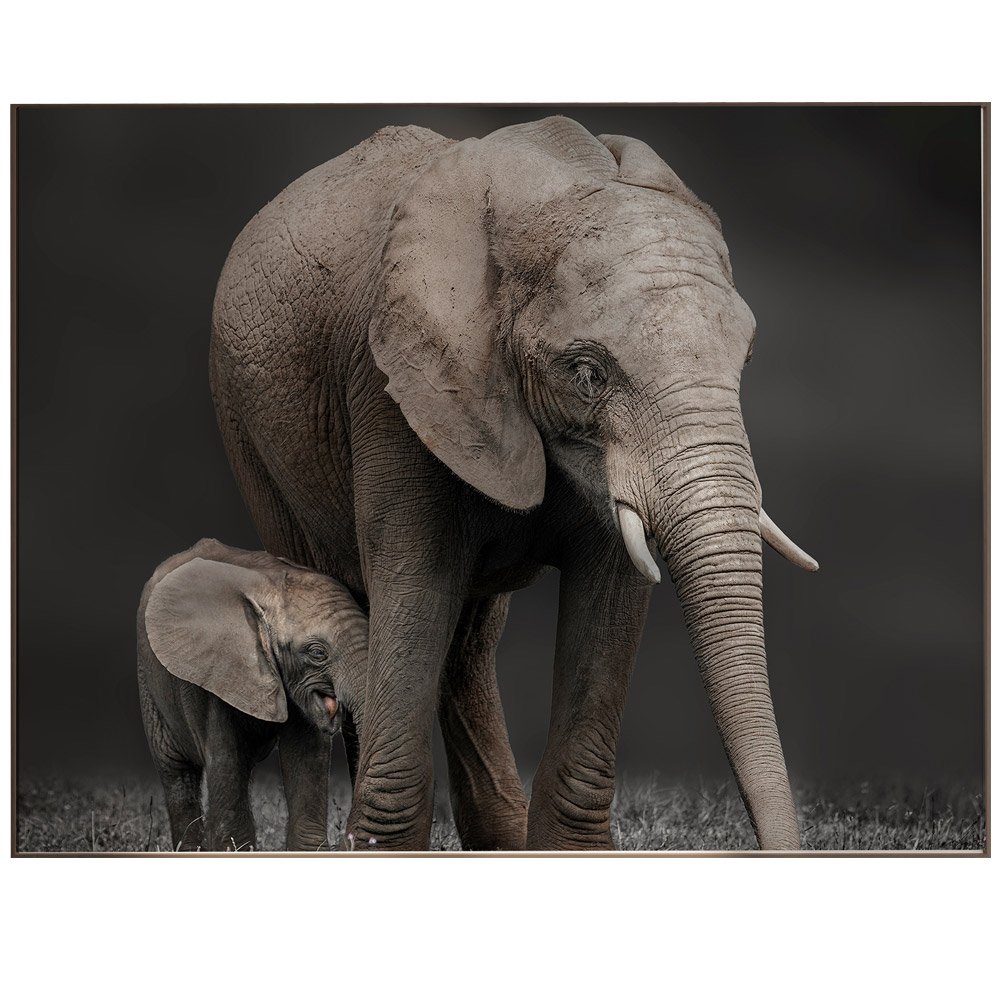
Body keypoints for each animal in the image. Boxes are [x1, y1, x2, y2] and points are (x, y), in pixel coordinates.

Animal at [137, 538, 368, 850]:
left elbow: (307, 754)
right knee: (177, 772)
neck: (269, 586)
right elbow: (227, 758)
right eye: (317, 653)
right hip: (148, 681)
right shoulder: (213, 670)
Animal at [209, 115, 818, 851]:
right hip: (246, 425)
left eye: (747, 359)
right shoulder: (393, 388)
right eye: (587, 373)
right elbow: (416, 585)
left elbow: (610, 596)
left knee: (468, 640)